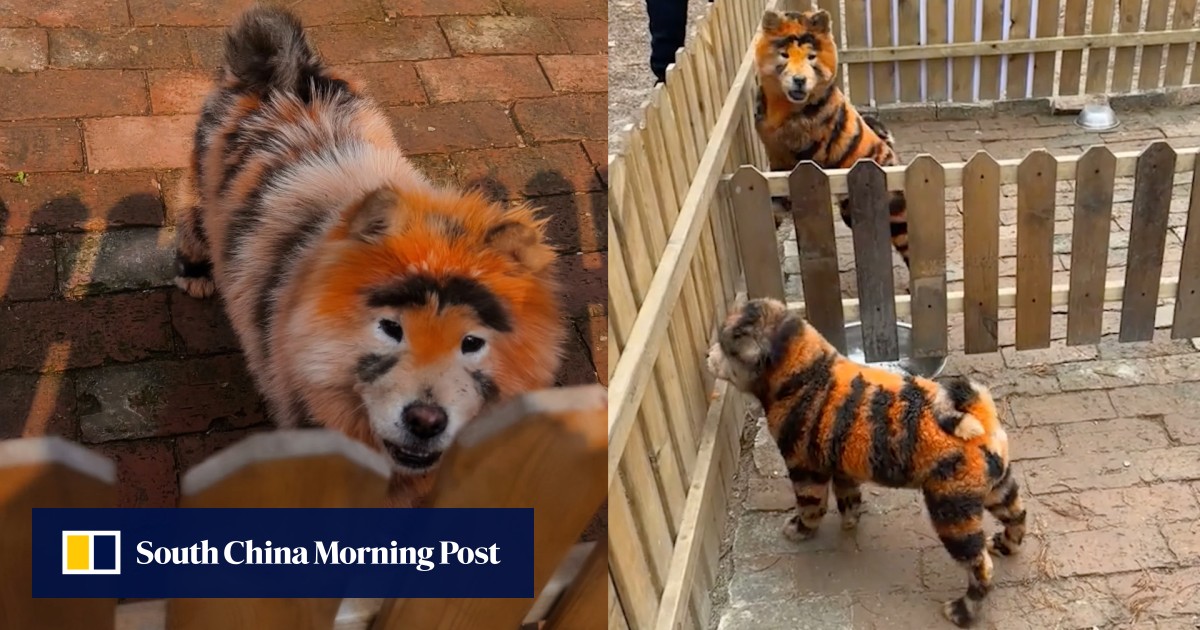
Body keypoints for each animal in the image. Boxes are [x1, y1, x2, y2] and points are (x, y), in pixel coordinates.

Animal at [172, 4, 566, 507]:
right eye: (390, 329)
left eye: (472, 342)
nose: (425, 421)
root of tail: (287, 74)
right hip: (204, 188)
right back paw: (196, 274)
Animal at [706, 298, 1026, 628]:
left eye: (726, 346)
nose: (706, 355)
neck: (808, 373)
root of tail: (980, 415)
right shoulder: (841, 466)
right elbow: (848, 497)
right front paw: (850, 521)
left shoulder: (805, 469)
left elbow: (811, 507)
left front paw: (798, 530)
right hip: (997, 487)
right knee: (1017, 515)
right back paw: (1005, 545)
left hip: (953, 511)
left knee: (980, 567)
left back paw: (961, 612)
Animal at [753, 8, 910, 271]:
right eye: (784, 54)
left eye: (811, 57)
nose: (799, 80)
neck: (784, 108)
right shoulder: (776, 157)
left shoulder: (808, 160)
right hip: (850, 212)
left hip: (897, 219)